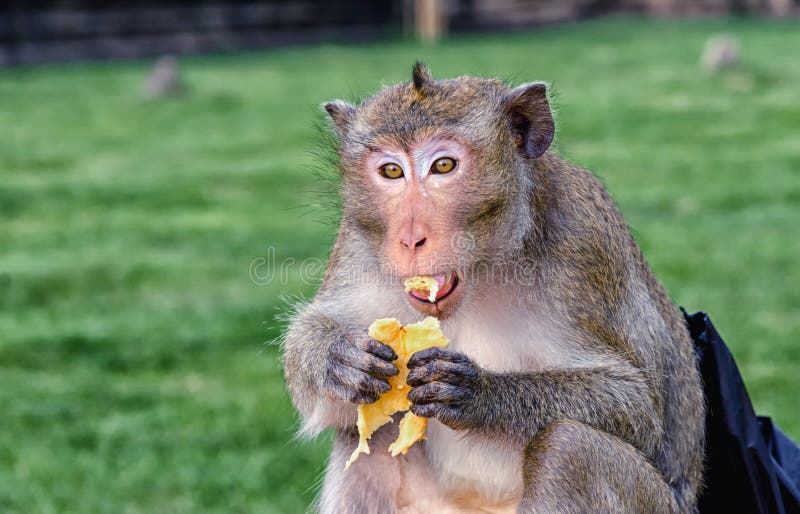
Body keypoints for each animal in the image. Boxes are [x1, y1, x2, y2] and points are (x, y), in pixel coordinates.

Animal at [282, 63, 705, 513]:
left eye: (443, 166)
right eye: (391, 171)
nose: (410, 238)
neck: (487, 266)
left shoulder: (585, 248)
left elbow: (638, 406)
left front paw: (477, 393)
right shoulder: (356, 240)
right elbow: (319, 376)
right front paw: (340, 358)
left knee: (568, 447)